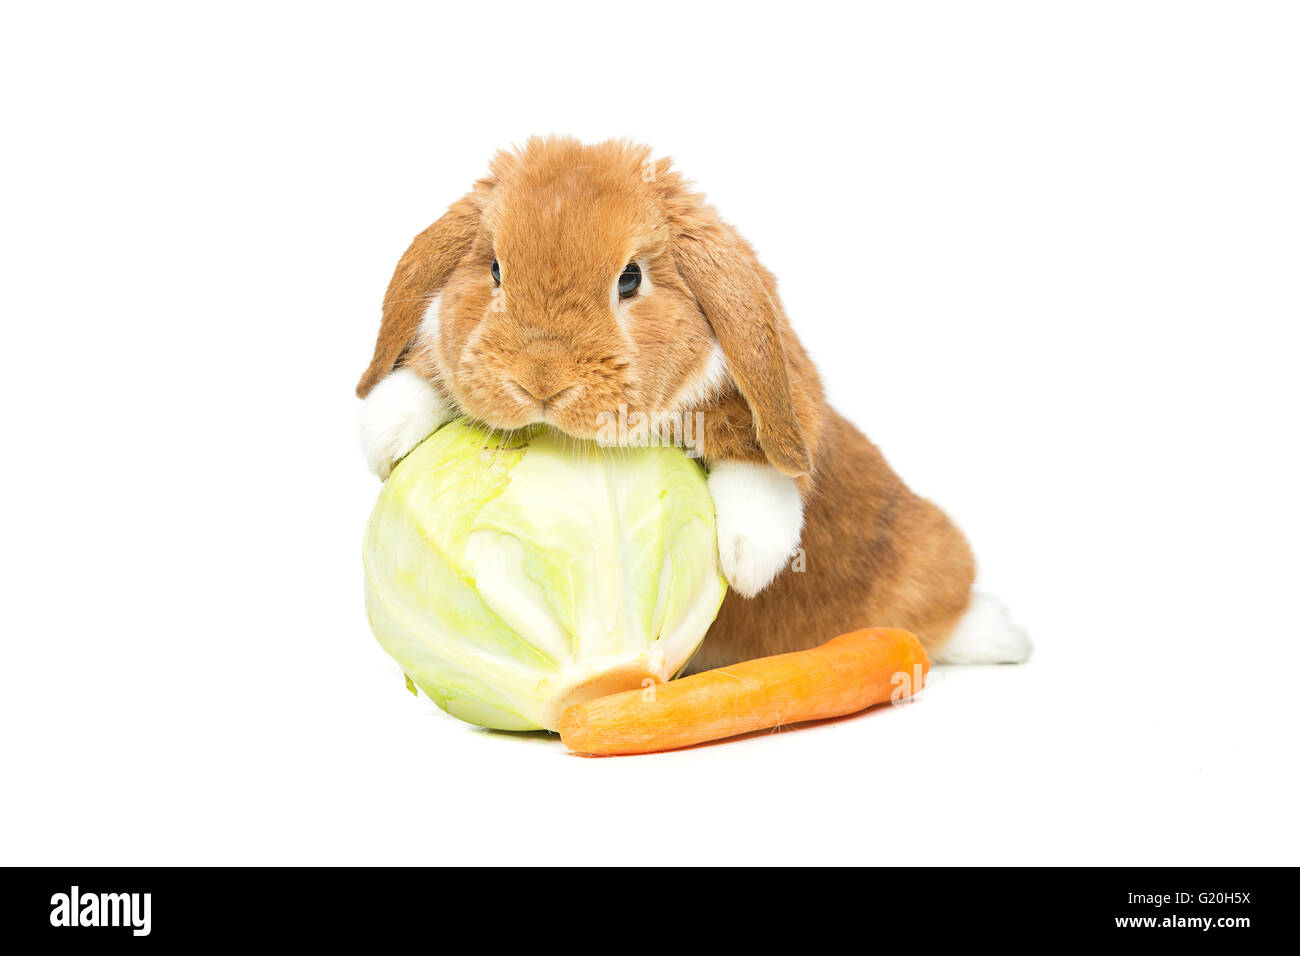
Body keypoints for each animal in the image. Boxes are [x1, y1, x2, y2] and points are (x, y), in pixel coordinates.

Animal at [357, 136, 1030, 669]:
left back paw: (1003, 637)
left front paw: (749, 558)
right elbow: (427, 379)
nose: (541, 383)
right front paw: (384, 434)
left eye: (630, 278)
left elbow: (756, 458)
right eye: (495, 269)